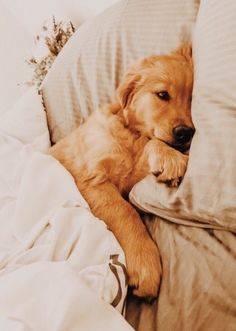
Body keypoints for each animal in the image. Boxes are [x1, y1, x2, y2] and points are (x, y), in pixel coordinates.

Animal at [49, 43, 194, 298]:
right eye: (162, 95)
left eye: (192, 98)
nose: (186, 133)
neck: (130, 131)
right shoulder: (93, 181)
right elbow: (126, 213)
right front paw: (144, 263)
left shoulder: (127, 176)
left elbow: (149, 147)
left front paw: (167, 157)